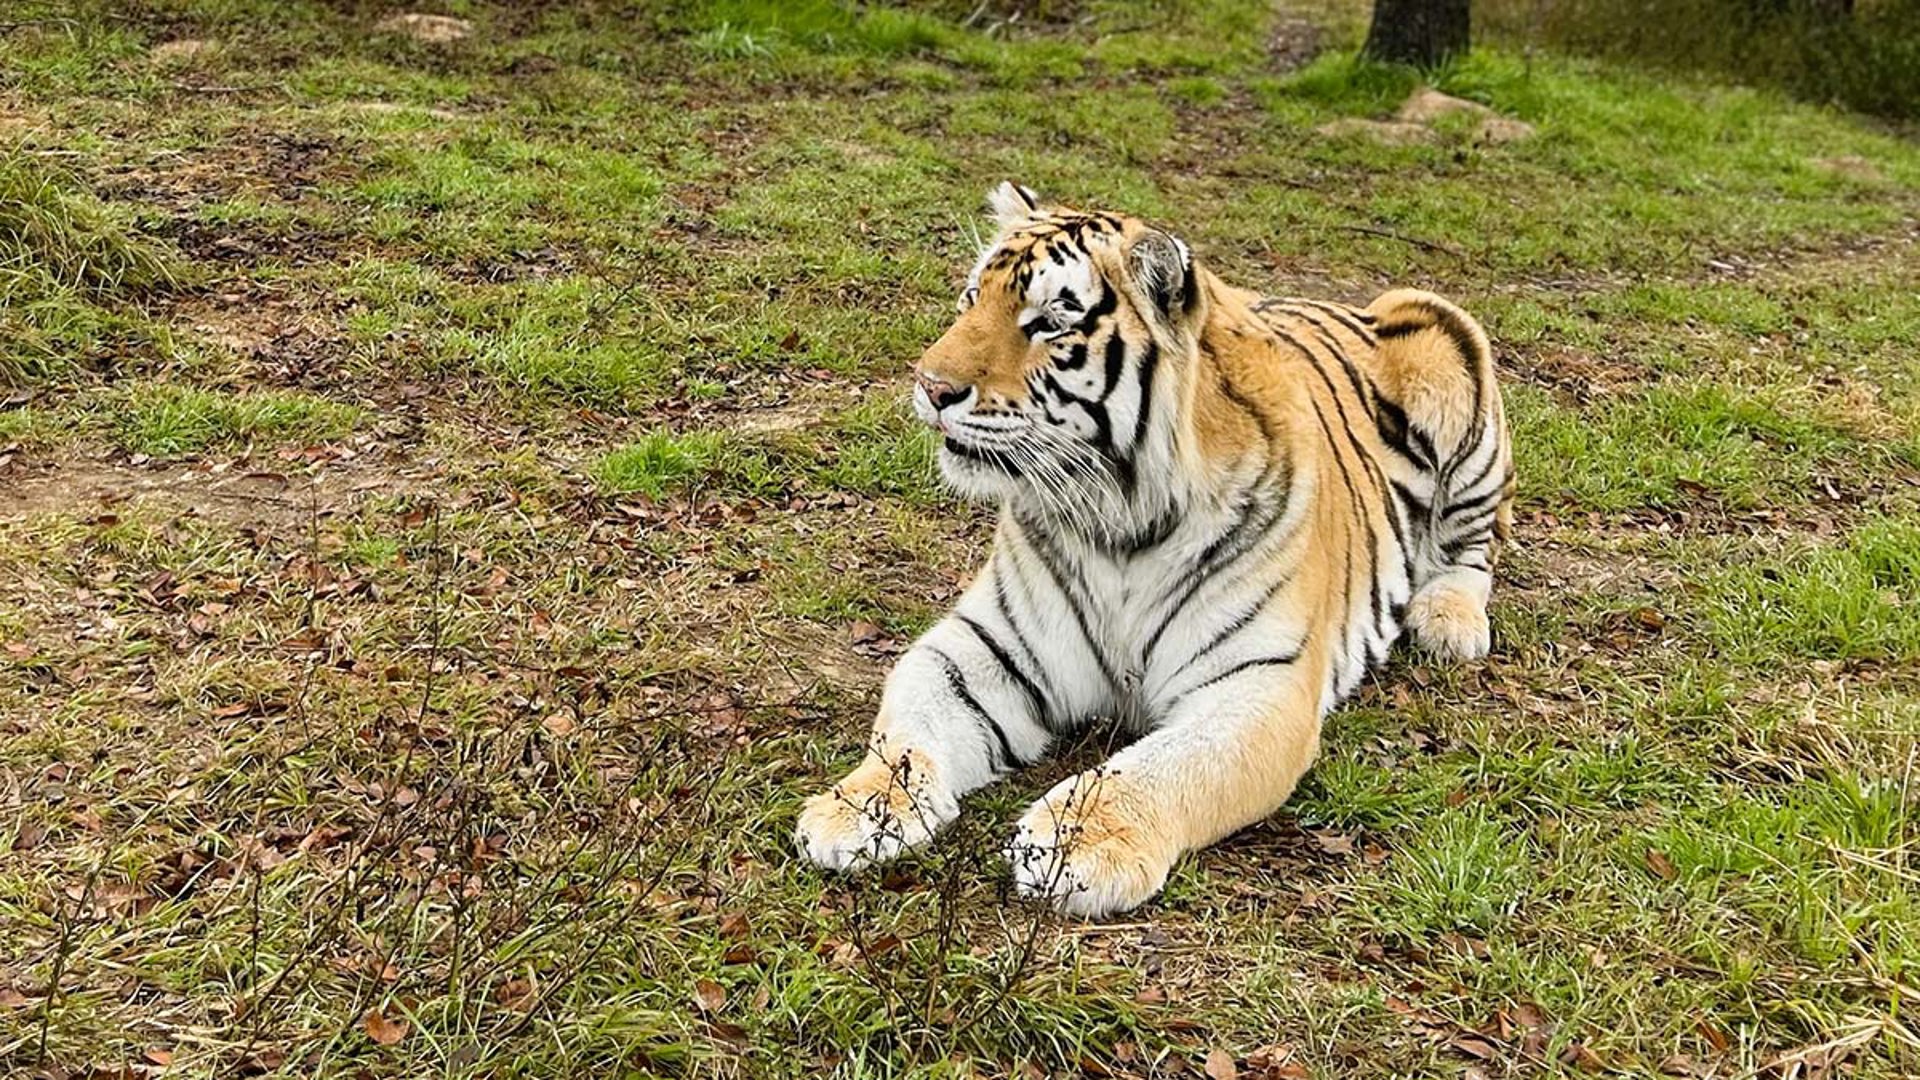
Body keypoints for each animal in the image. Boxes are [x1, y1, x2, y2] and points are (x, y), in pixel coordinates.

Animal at [795, 182, 1514, 917]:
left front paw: (1074, 843)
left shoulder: (1259, 685)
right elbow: (909, 722)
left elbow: (1164, 767)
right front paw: (857, 809)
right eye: (971, 298)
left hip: (1449, 349)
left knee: (1475, 545)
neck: (1118, 519)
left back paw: (1449, 622)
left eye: (1048, 323)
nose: (930, 386)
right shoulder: (986, 645)